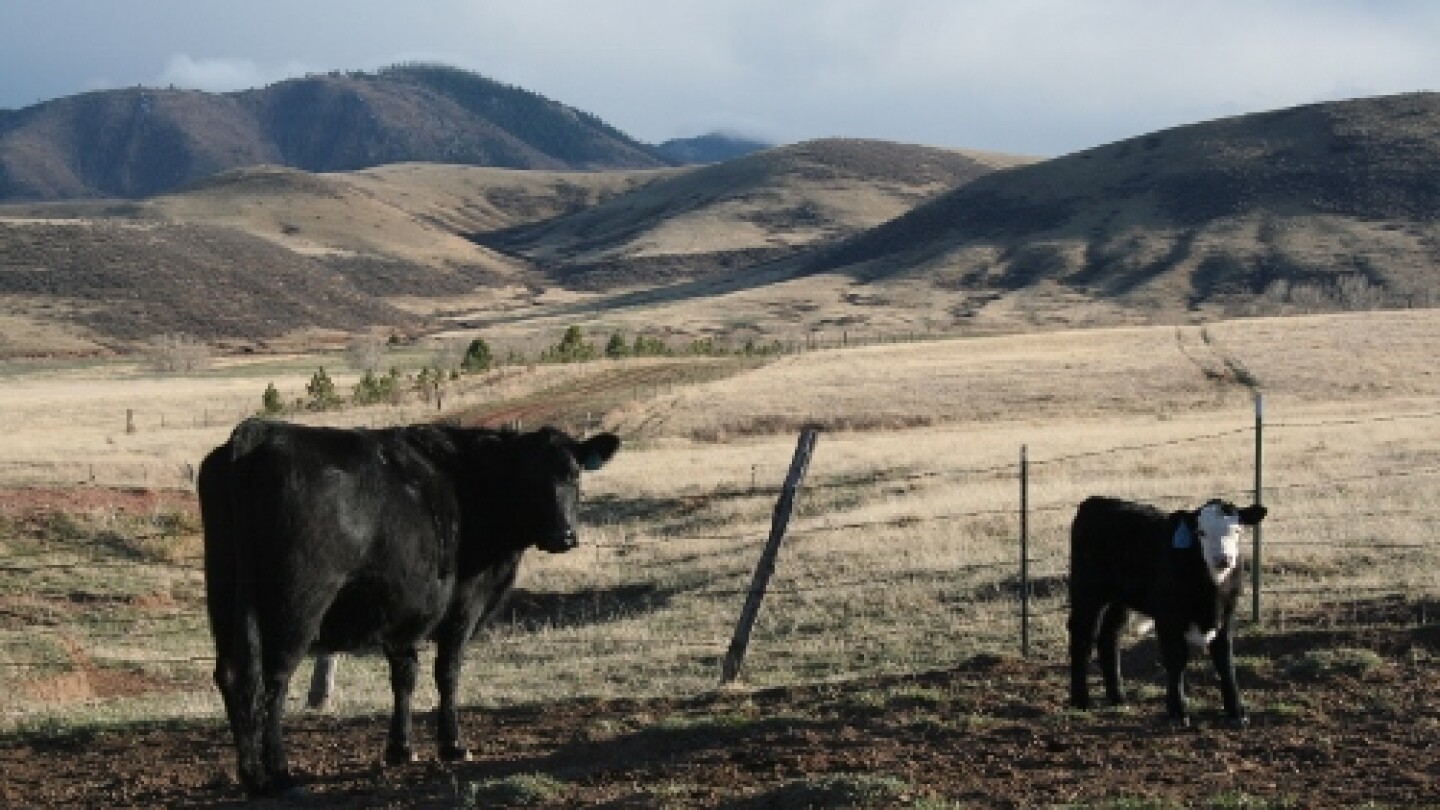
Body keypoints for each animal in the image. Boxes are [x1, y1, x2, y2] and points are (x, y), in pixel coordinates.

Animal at [198, 418, 620, 797]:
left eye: (574, 475)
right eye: (529, 477)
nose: (564, 535)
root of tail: (259, 431)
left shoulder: (403, 612)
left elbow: (404, 676)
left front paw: (400, 749)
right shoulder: (462, 607)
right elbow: (447, 672)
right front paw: (453, 746)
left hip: (224, 593)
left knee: (233, 675)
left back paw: (250, 775)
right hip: (297, 603)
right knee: (272, 680)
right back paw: (278, 775)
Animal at [1067, 495, 1267, 728]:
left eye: (1237, 530)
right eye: (1201, 532)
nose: (1223, 560)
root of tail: (1095, 501)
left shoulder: (1226, 614)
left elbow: (1225, 661)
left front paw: (1237, 712)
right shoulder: (1167, 617)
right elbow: (1176, 659)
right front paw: (1177, 712)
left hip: (1120, 600)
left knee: (1109, 636)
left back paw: (1118, 697)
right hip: (1087, 593)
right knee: (1082, 636)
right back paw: (1080, 701)